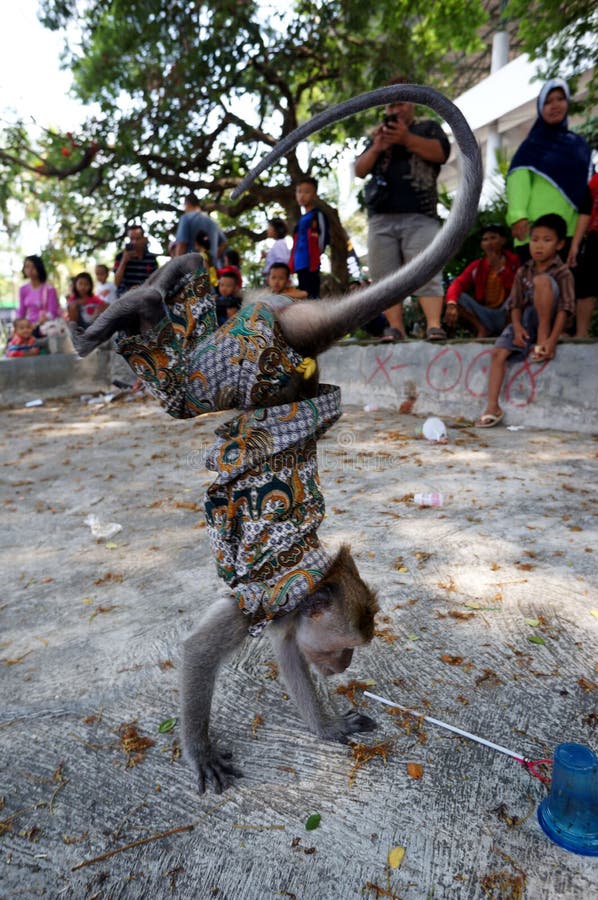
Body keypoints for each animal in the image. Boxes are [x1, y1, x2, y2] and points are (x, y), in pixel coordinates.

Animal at [72, 85, 482, 793]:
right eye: (345, 648)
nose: (345, 669)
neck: (310, 576)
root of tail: (295, 332)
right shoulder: (261, 602)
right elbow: (199, 652)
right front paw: (203, 748)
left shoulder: (288, 620)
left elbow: (290, 661)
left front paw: (329, 723)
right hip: (221, 357)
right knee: (172, 340)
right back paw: (139, 299)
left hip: (249, 339)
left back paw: (167, 276)